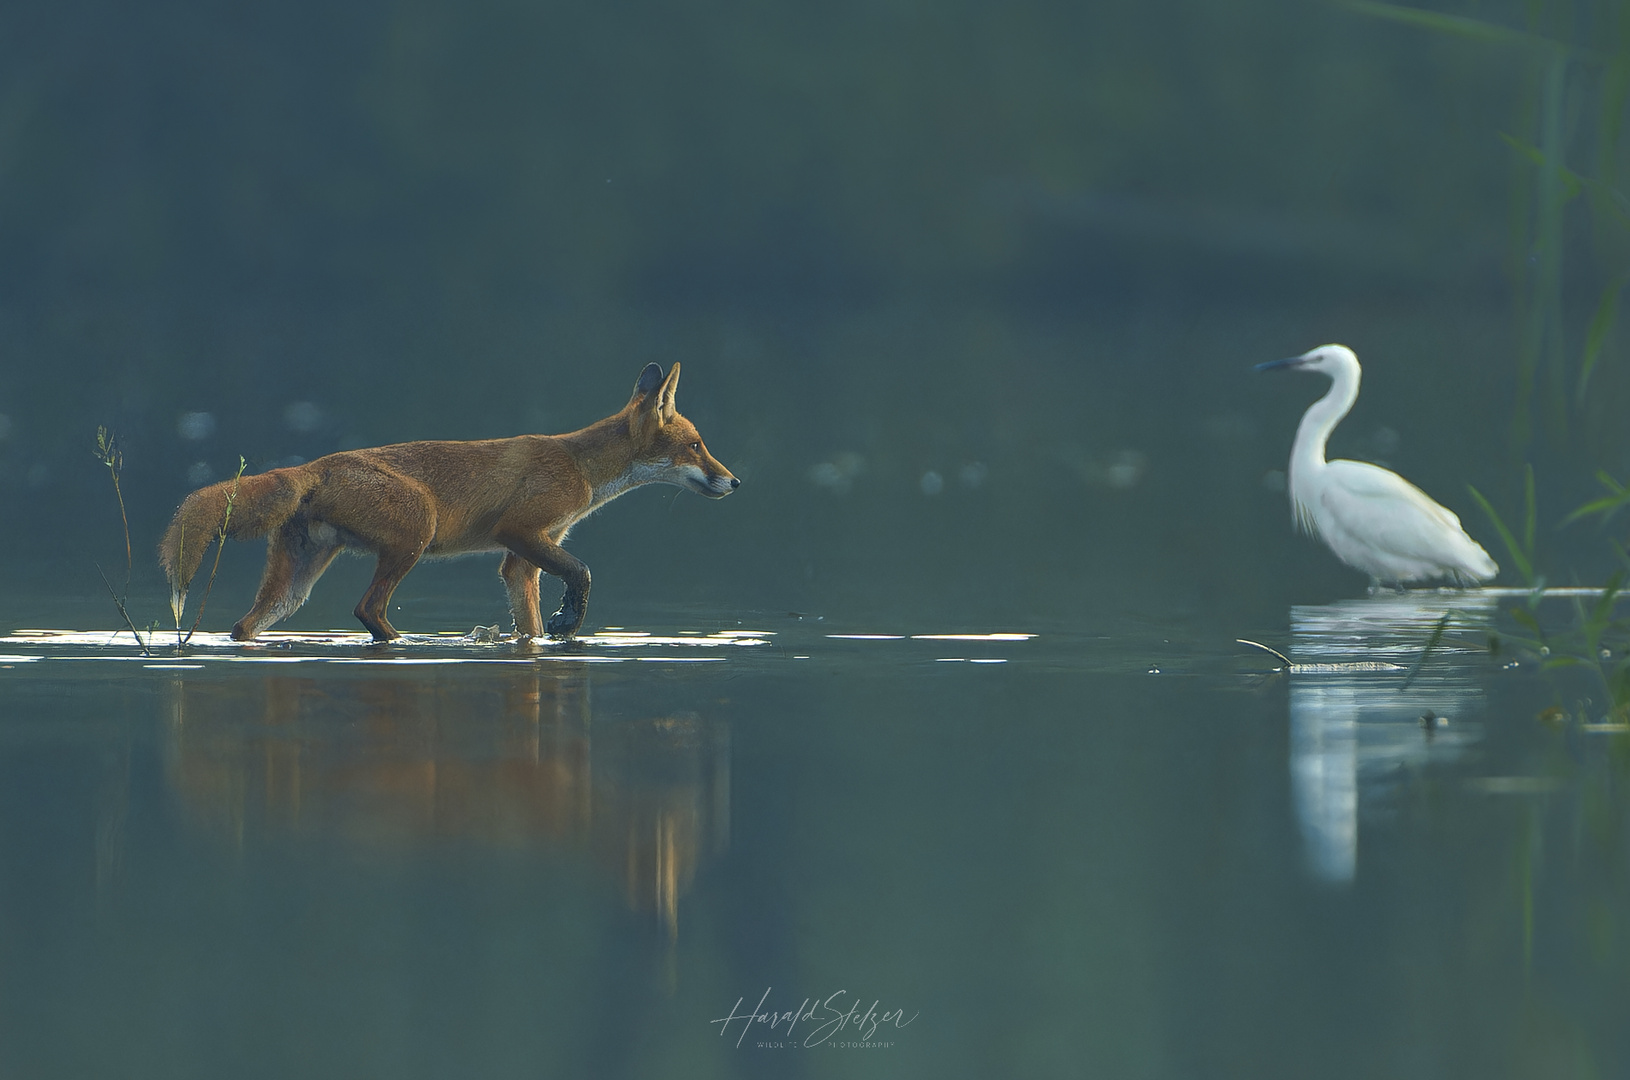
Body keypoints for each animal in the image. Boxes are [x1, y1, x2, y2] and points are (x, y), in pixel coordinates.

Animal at [160, 363, 740, 641]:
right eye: (697, 446)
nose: (734, 482)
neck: (583, 470)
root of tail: (314, 466)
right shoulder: (519, 530)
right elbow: (583, 572)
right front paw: (570, 620)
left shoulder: (521, 560)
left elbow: (528, 623)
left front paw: (549, 632)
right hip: (417, 531)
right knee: (367, 609)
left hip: (295, 587)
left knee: (245, 626)